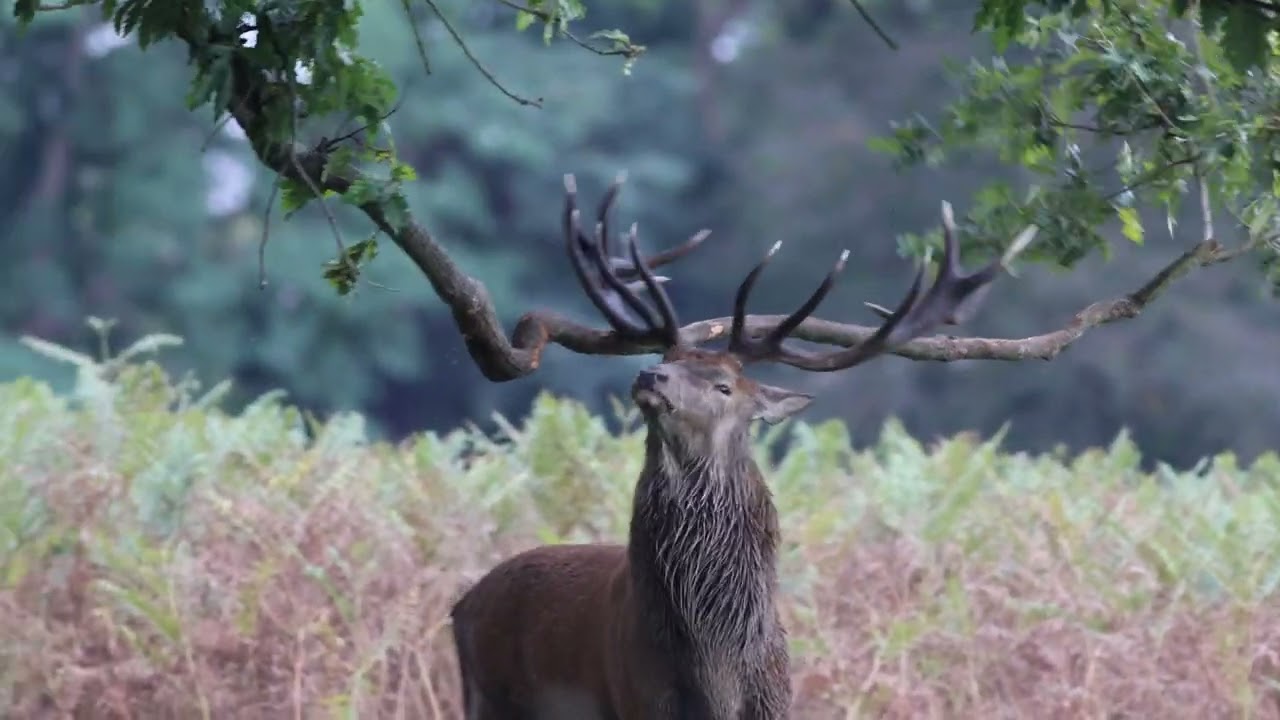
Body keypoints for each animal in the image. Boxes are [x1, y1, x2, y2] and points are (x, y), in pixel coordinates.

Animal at [449, 174, 1036, 720]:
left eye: (724, 386)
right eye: (666, 356)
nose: (649, 375)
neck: (717, 670)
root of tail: (460, 607)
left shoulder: (774, 703)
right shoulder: (641, 701)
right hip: (491, 700)